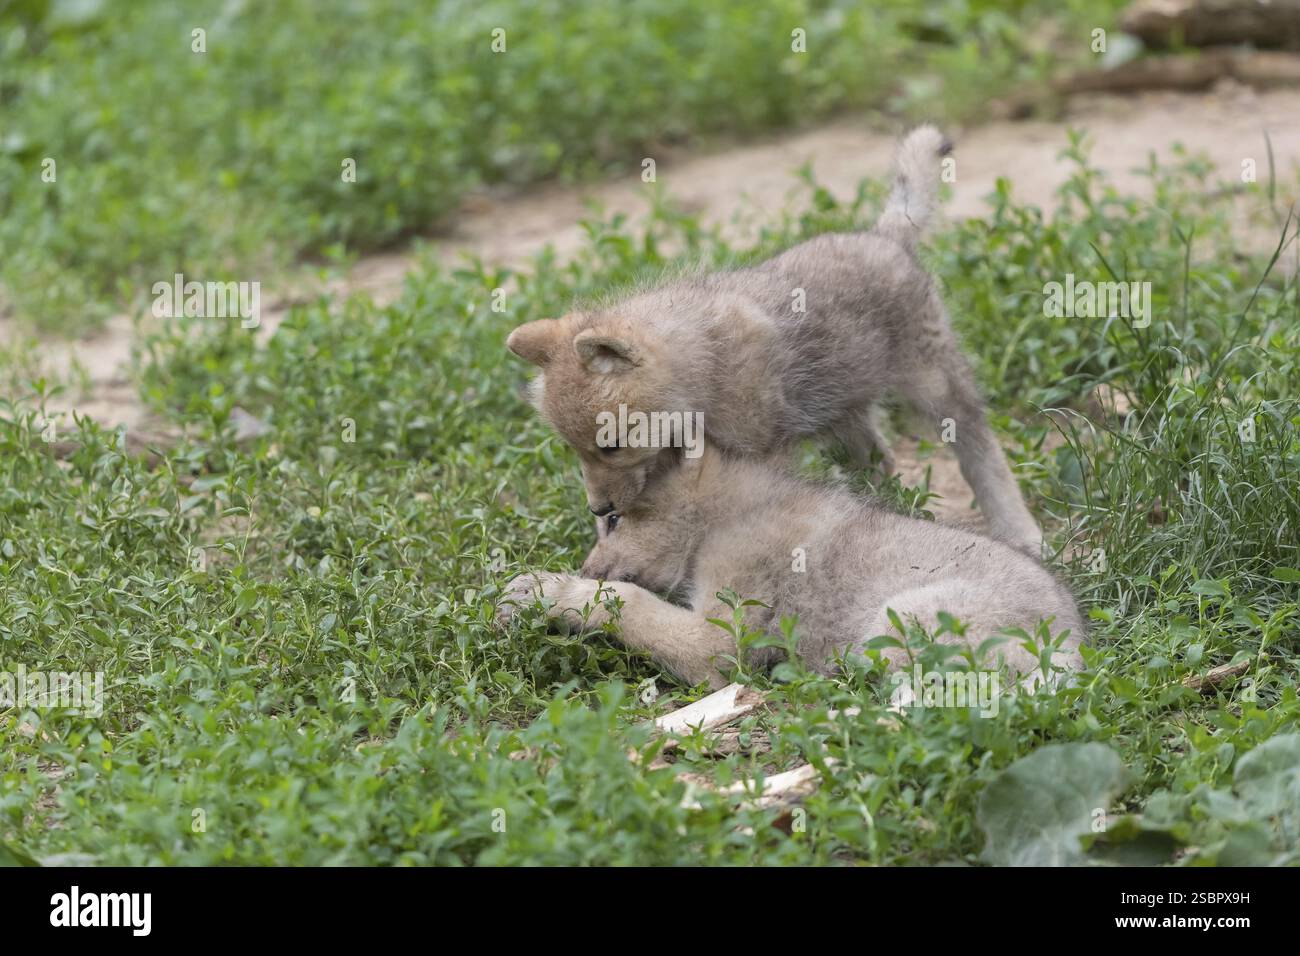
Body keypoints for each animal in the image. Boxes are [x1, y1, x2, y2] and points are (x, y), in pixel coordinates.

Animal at [497, 450, 1084, 690]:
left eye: (614, 519)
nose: (588, 567)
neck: (721, 515)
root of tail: (1075, 653)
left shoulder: (718, 643)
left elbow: (629, 604)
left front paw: (541, 590)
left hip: (898, 620)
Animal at [505, 125, 1042, 551]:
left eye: (611, 445)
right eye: (575, 451)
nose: (597, 510)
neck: (700, 372)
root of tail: (886, 234)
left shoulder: (759, 455)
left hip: (934, 385)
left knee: (981, 448)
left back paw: (1021, 531)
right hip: (844, 415)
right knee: (883, 462)